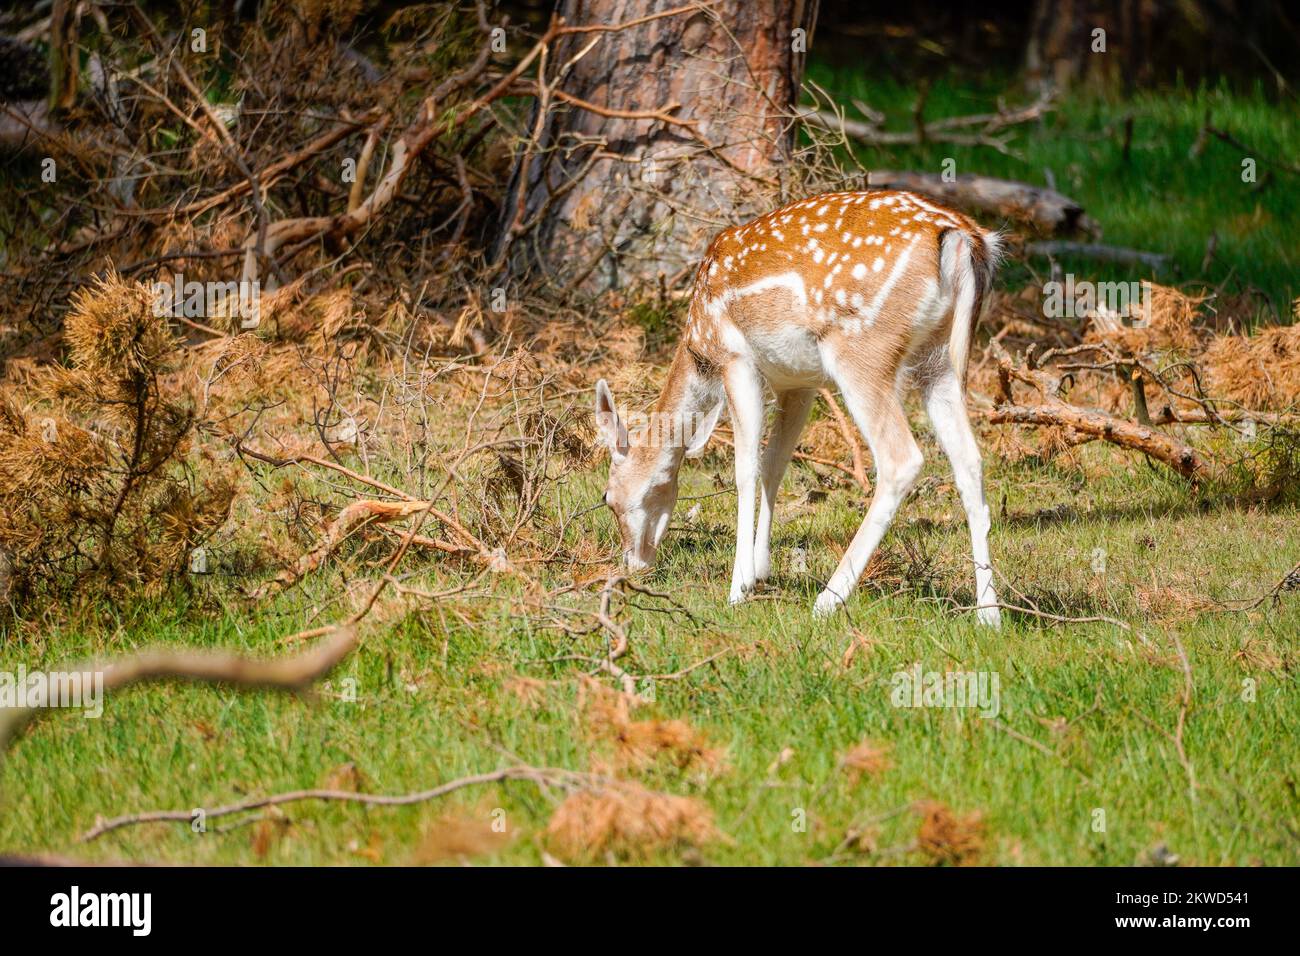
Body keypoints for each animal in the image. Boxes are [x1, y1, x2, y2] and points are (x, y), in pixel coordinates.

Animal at [594, 189, 1002, 625]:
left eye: (608, 498)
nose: (633, 563)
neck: (697, 348)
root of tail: (962, 237)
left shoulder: (736, 360)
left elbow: (745, 469)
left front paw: (738, 588)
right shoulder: (798, 382)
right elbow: (774, 464)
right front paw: (760, 570)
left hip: (861, 347)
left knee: (901, 459)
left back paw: (828, 599)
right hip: (939, 360)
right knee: (970, 461)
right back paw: (989, 613)